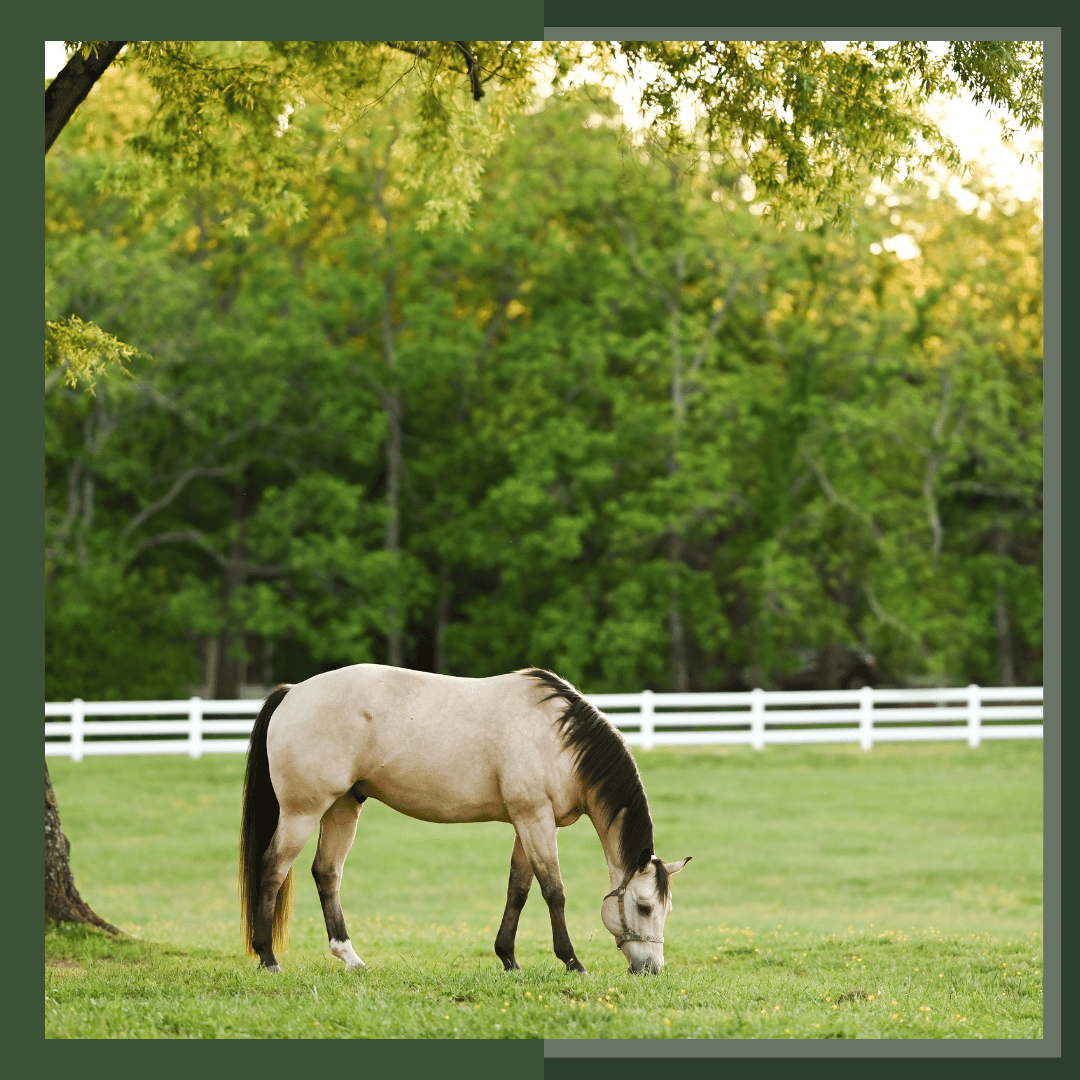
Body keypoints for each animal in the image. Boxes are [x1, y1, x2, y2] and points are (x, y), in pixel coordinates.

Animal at [240, 665, 691, 975]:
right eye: (644, 907)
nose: (651, 969)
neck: (559, 739)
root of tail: (293, 692)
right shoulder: (535, 819)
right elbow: (554, 891)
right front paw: (572, 962)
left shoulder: (526, 822)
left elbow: (518, 890)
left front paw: (508, 959)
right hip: (302, 811)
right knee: (273, 868)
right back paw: (267, 956)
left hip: (342, 808)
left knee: (327, 873)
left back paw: (349, 957)